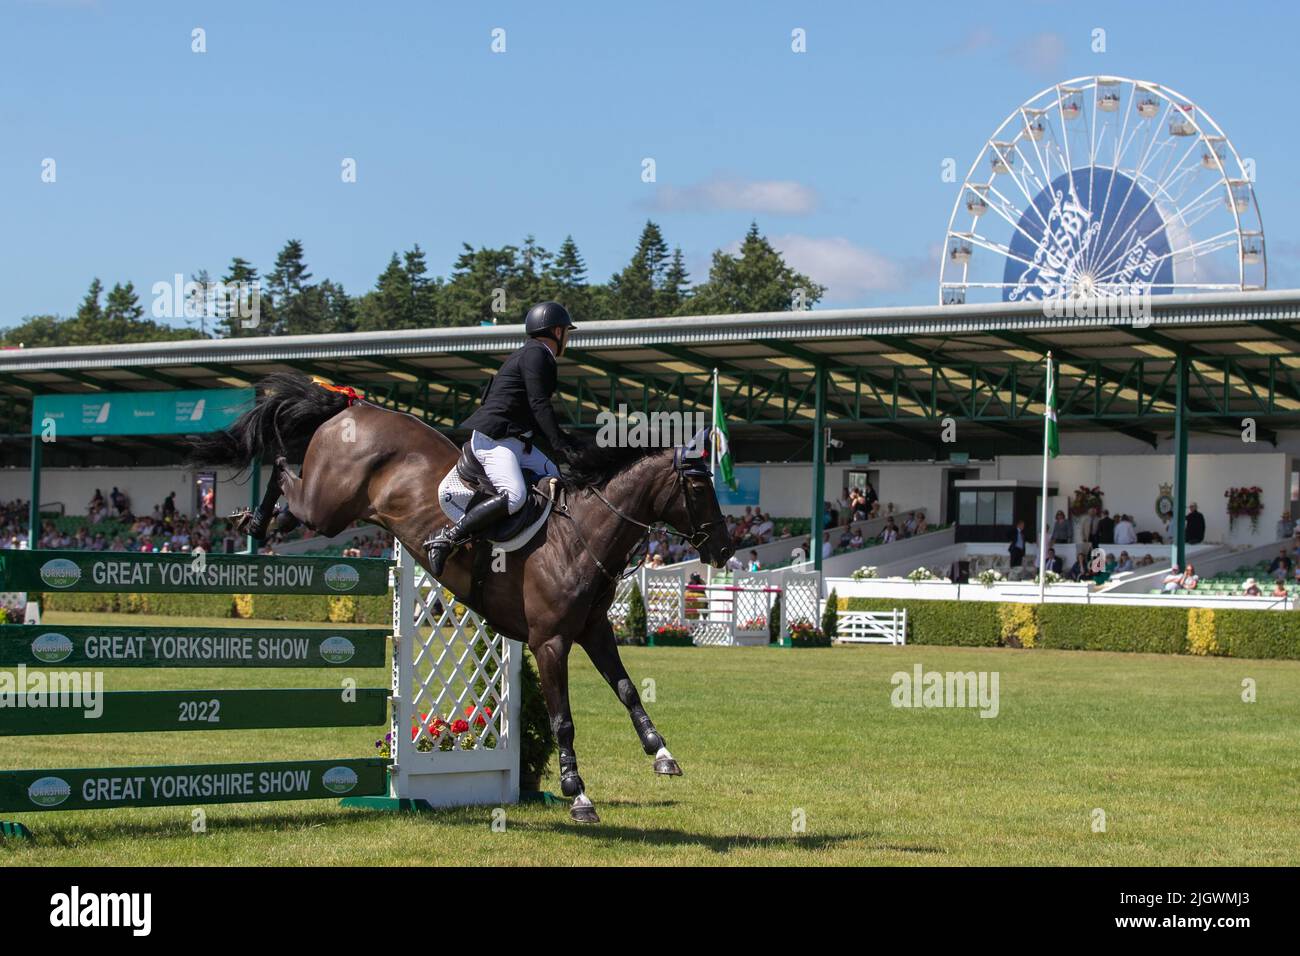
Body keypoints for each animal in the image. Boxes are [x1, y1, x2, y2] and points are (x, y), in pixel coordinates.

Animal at [188, 372, 734, 823]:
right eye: (698, 487)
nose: (726, 550)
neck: (579, 536)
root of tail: (352, 407)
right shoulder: (550, 642)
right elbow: (563, 720)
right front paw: (577, 793)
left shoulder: (594, 631)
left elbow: (627, 690)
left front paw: (661, 754)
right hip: (327, 507)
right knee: (282, 467)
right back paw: (254, 520)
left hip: (331, 511)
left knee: (287, 487)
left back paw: (260, 521)